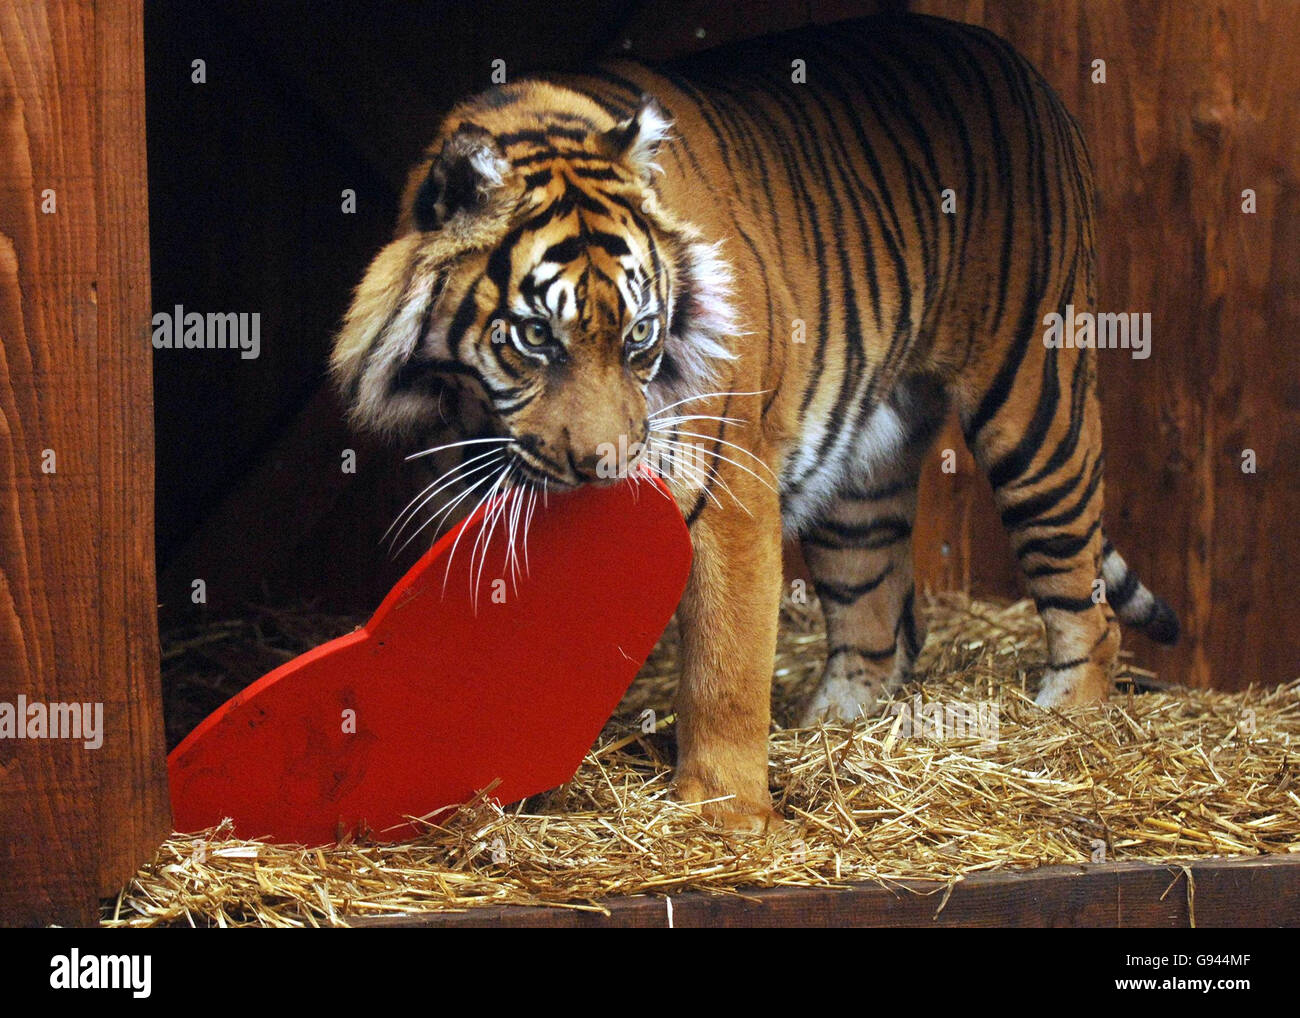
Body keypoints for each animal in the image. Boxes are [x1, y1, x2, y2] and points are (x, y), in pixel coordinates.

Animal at [330, 12, 1179, 831]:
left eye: (641, 333)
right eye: (536, 336)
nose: (605, 464)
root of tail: (1004, 54)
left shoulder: (727, 488)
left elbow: (725, 664)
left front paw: (727, 813)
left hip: (1035, 399)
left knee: (1085, 604)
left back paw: (1060, 728)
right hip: (863, 473)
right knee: (875, 619)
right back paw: (831, 732)